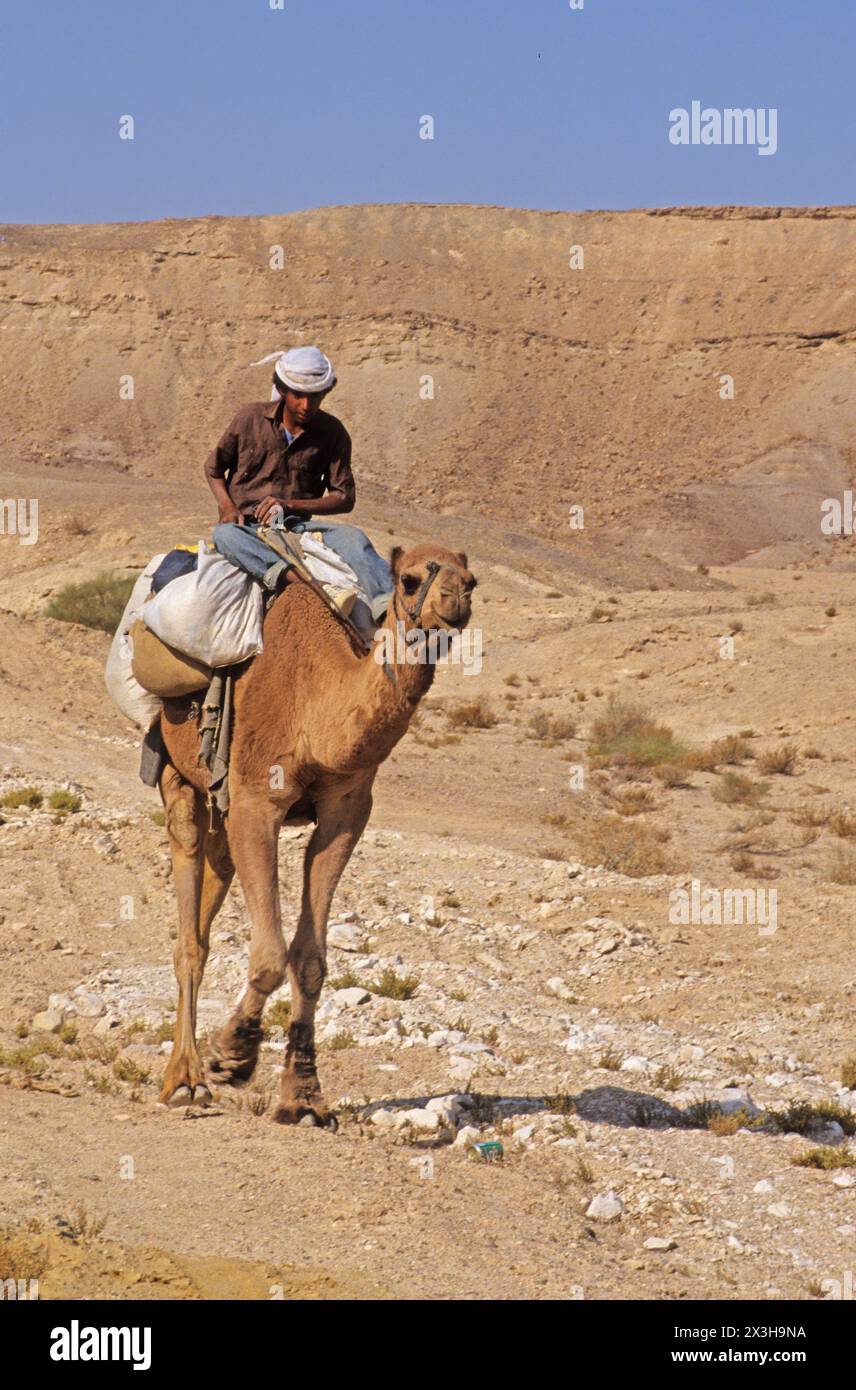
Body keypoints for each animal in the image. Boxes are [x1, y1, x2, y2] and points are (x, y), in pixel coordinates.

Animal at [156, 542, 476, 1126]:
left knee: (216, 878)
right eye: (410, 578)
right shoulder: (256, 799)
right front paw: (232, 1054)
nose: (455, 599)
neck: (317, 707)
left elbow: (309, 959)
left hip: (218, 804)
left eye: (473, 580)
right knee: (188, 913)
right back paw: (186, 1080)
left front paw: (303, 1098)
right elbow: (269, 954)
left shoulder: (347, 814)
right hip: (178, 771)